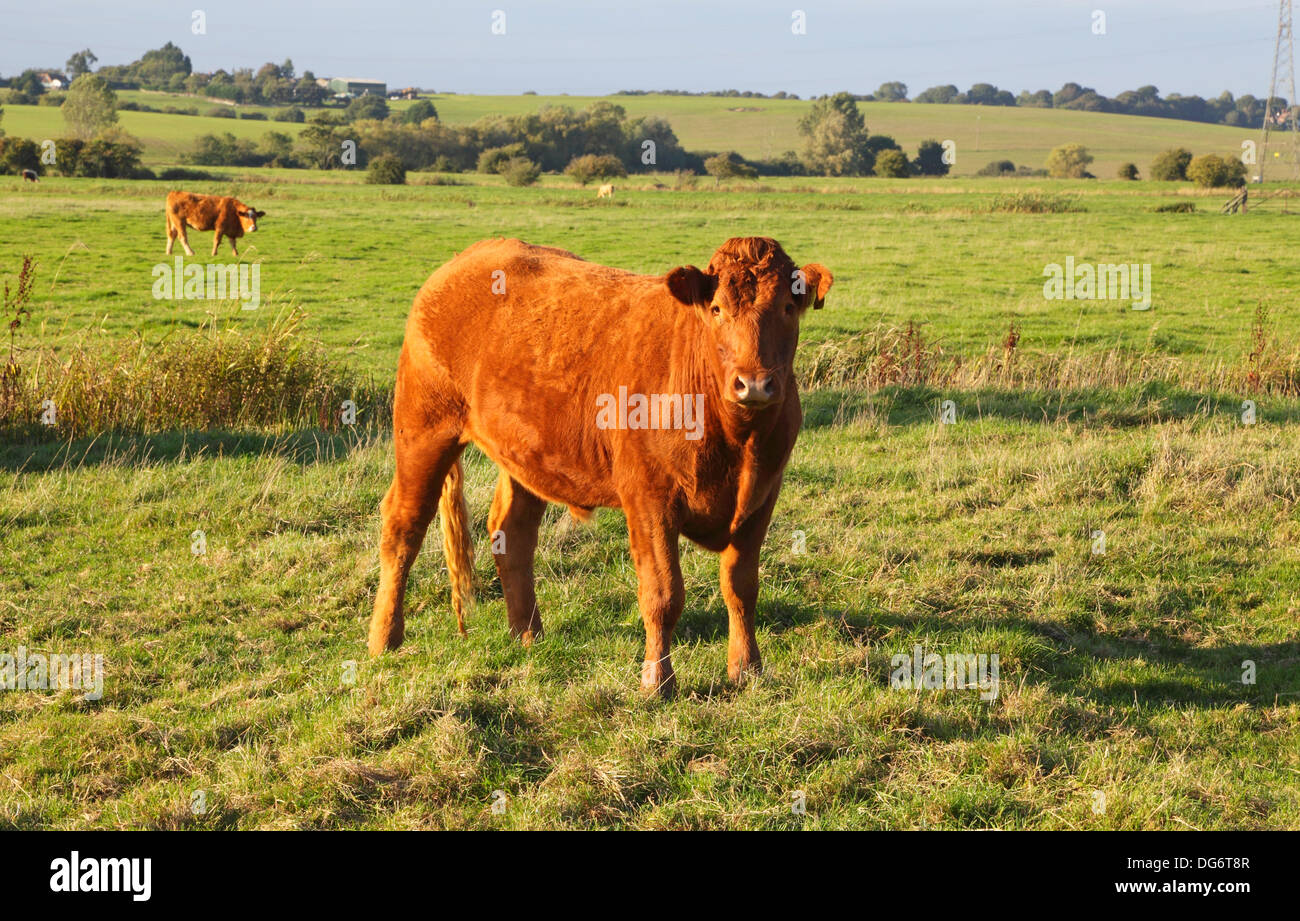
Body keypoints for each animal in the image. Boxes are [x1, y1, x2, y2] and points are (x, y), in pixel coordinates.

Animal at [367, 237, 833, 697]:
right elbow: (662, 594)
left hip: (524, 453)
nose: (753, 383)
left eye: (787, 308)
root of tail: (469, 255)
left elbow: (741, 587)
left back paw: (527, 634)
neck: (737, 437)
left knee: (511, 532)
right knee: (403, 526)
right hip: (424, 428)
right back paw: (384, 638)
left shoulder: (761, 496)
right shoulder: (649, 497)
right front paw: (657, 681)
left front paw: (748, 670)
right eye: (717, 309)